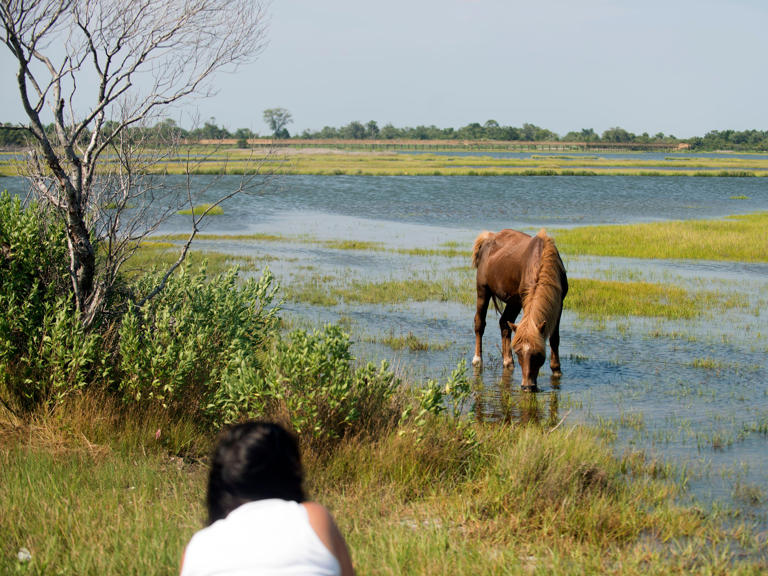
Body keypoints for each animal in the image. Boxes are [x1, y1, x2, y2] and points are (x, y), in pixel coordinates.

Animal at [471, 228, 568, 389]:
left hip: (513, 301)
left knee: (504, 323)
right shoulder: (525, 300)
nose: (527, 386)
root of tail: (488, 238)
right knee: (480, 323)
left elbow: (555, 338)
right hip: (483, 290)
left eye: (539, 354)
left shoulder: (559, 304)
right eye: (519, 353)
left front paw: (556, 370)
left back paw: (507, 361)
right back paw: (477, 359)